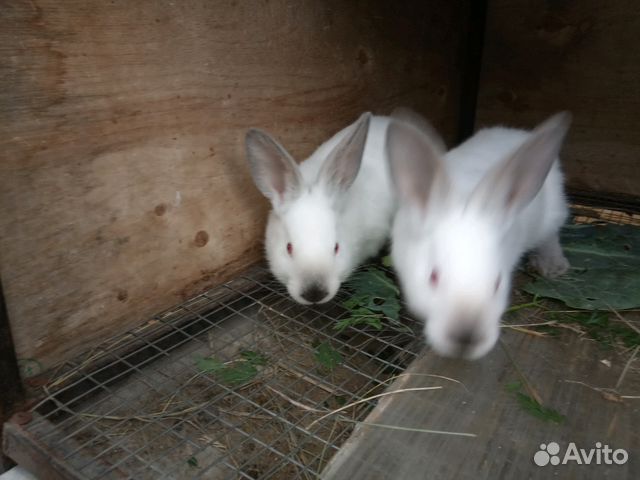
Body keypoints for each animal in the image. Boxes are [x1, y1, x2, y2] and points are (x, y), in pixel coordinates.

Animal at [386, 111, 572, 359]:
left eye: (498, 283)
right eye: (433, 277)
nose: (466, 339)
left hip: (552, 214)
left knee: (551, 235)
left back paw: (551, 266)